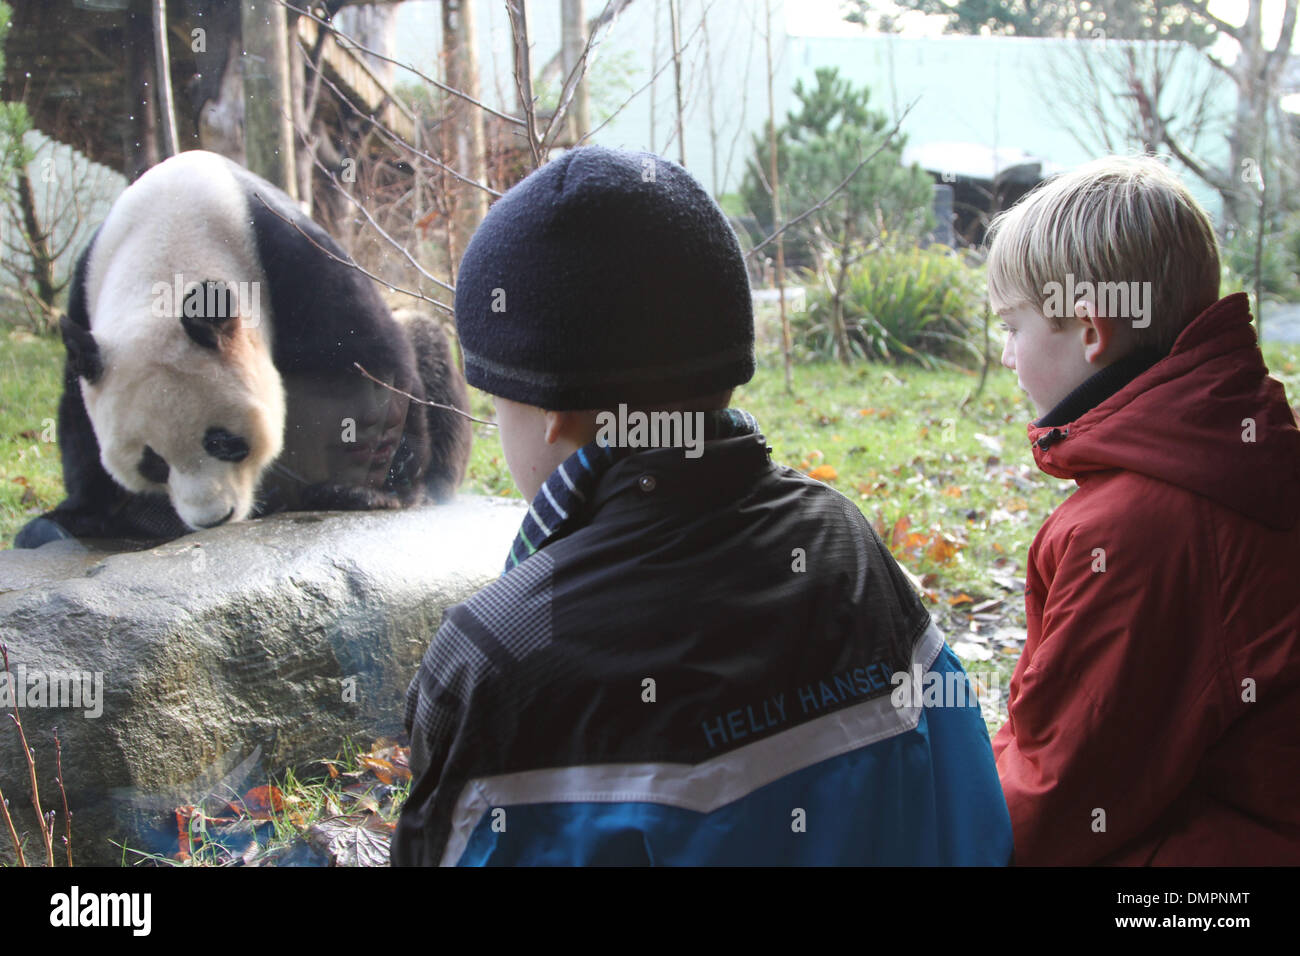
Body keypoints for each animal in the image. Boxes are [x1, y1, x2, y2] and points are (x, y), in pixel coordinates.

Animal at [14, 150, 471, 548]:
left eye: (222, 442)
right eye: (152, 463)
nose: (212, 518)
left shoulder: (283, 252)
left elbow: (371, 356)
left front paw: (375, 491)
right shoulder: (87, 295)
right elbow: (77, 414)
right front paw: (74, 516)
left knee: (427, 346)